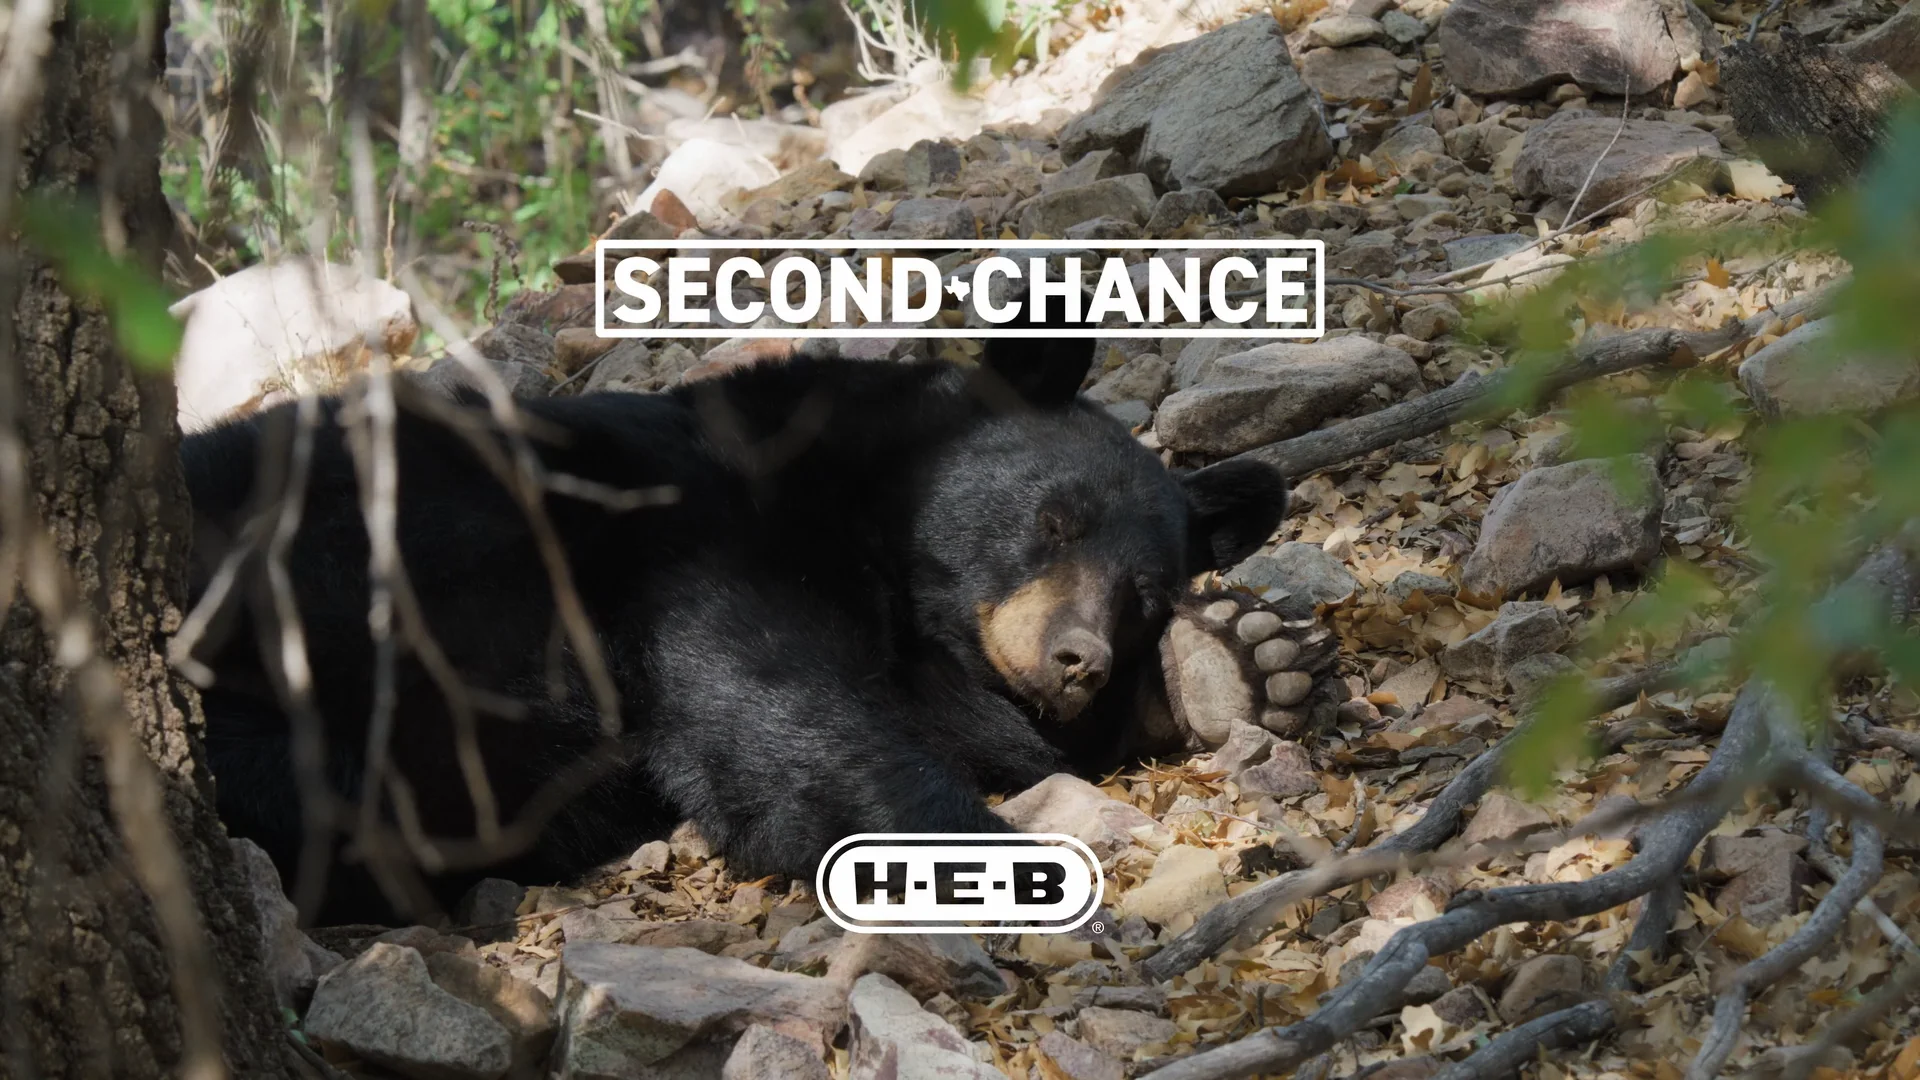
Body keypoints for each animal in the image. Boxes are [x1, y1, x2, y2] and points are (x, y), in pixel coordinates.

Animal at [179, 332, 1308, 926]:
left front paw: (1234, 659)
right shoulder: (690, 547)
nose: (1080, 661)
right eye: (1053, 519)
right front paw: (976, 855)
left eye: (1145, 588)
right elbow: (770, 703)